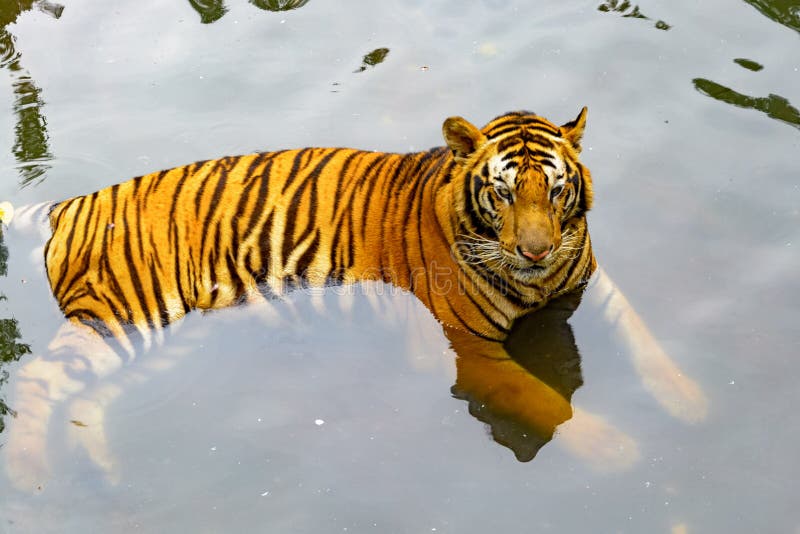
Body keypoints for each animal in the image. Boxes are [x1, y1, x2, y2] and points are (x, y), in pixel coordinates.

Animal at [0, 108, 707, 491]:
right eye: (504, 192)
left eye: (555, 190)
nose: (534, 251)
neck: (540, 281)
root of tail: (71, 202)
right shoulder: (469, 351)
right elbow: (545, 399)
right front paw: (619, 450)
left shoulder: (589, 283)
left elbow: (642, 333)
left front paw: (691, 401)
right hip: (118, 318)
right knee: (37, 381)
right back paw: (32, 476)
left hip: (168, 333)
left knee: (87, 399)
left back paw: (104, 472)